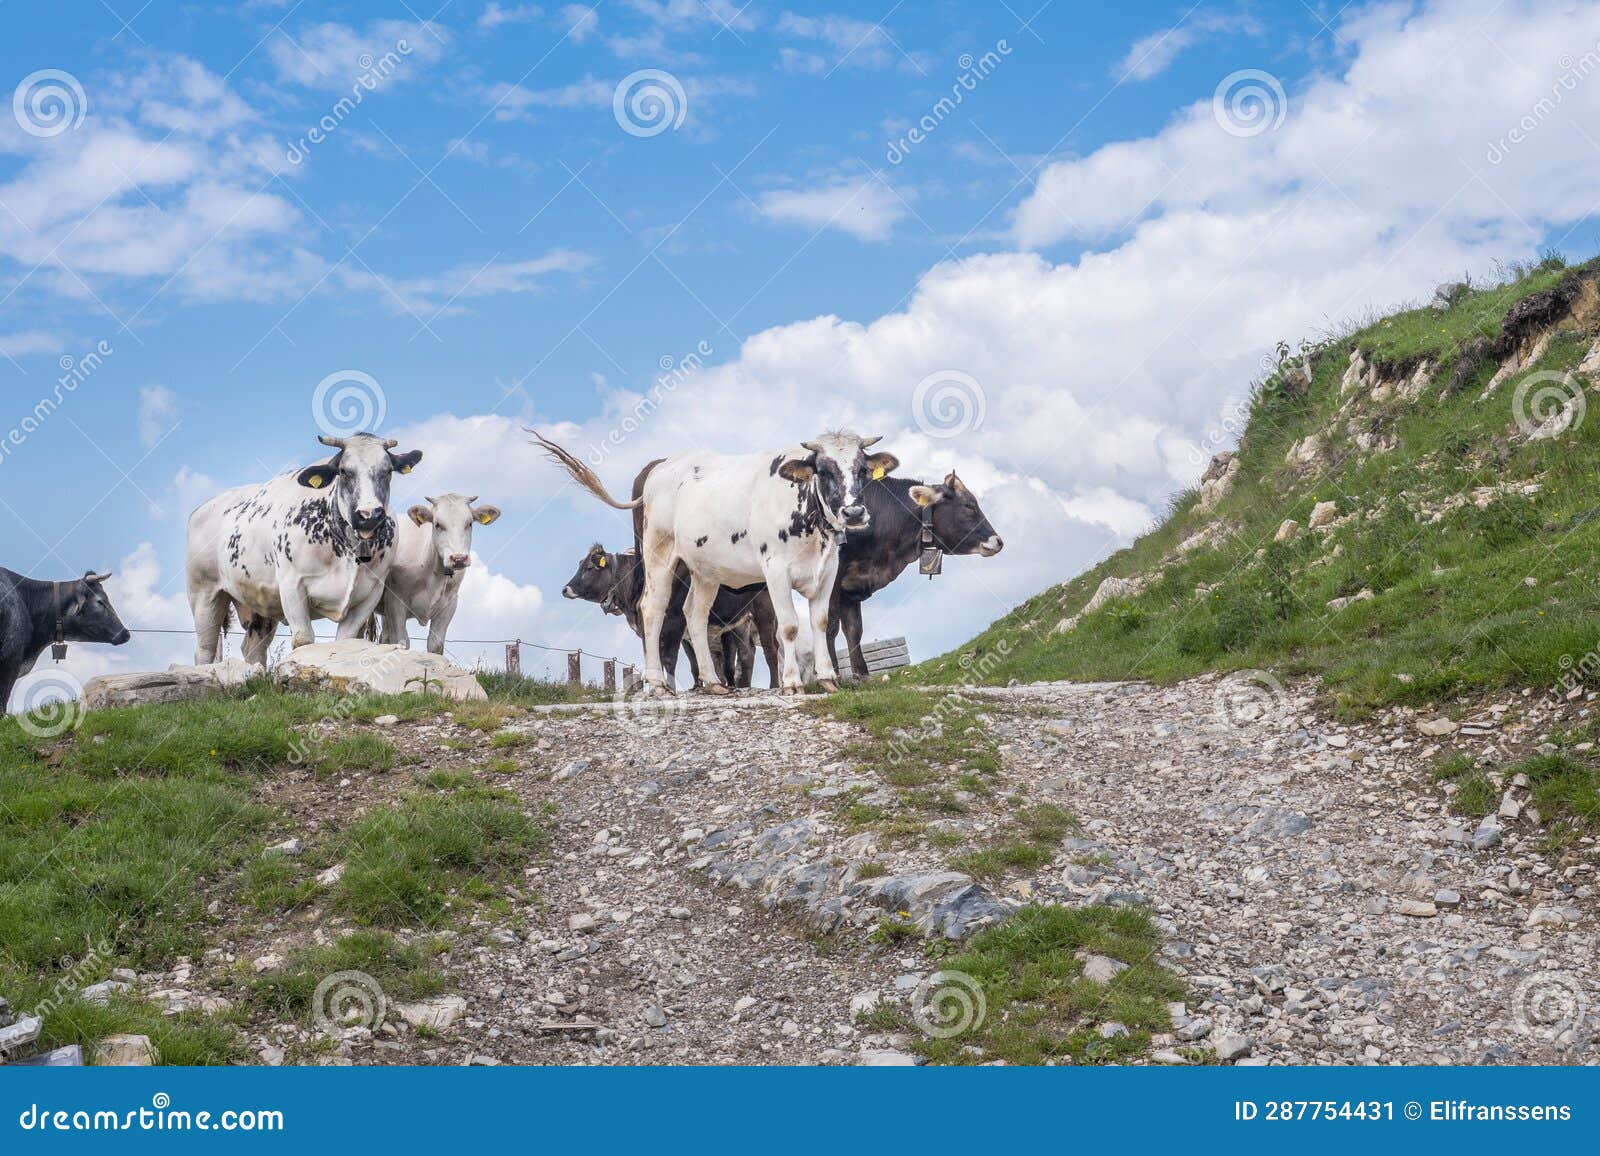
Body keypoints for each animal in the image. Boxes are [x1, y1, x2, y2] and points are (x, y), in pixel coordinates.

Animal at [186, 432, 423, 666]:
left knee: (253, 649)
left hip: (259, 603)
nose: (369, 515)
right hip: (204, 593)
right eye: (344, 471)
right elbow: (303, 640)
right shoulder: (292, 585)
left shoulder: (371, 593)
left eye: (387, 471)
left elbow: (344, 642)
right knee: (205, 649)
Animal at [369, 493, 502, 655]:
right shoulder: (395, 602)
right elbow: (402, 642)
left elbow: (435, 645)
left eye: (469, 523)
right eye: (437, 524)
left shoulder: (449, 605)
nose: (458, 558)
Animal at [561, 543, 780, 689]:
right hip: (741, 622)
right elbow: (687, 663)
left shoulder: (675, 622)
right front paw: (692, 687)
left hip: (765, 613)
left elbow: (669, 659)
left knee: (770, 650)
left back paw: (774, 685)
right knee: (747, 653)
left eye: (589, 568)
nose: (565, 589)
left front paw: (671, 688)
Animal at [829, 472, 1003, 678]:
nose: (998, 541)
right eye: (969, 505)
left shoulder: (850, 585)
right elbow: (830, 625)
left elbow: (853, 629)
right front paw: (830, 676)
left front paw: (862, 675)